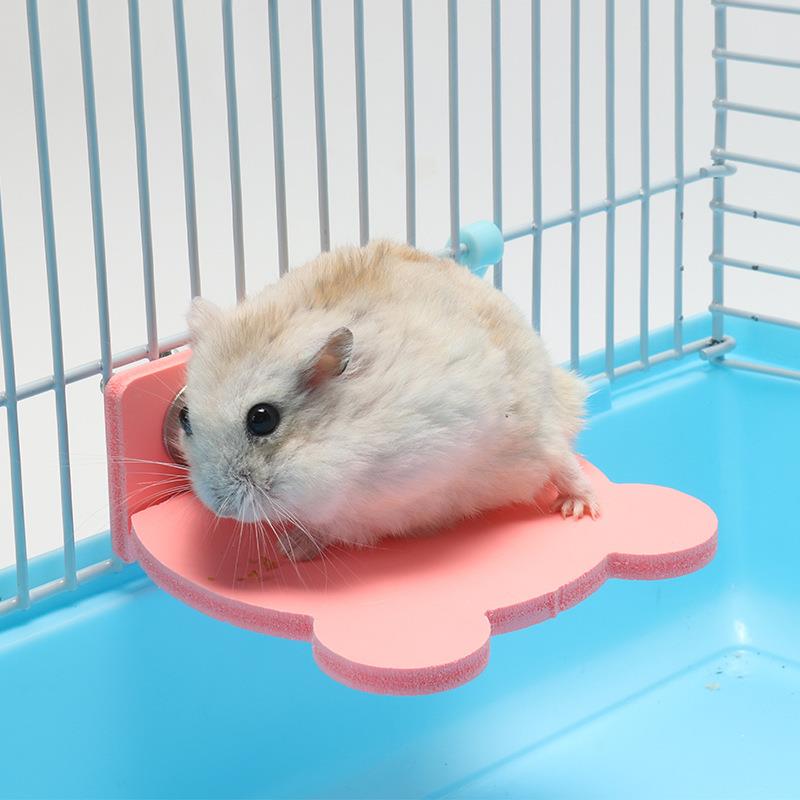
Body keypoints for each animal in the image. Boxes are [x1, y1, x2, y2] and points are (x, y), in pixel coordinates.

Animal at [179, 241, 598, 562]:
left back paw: (580, 509)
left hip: (532, 434)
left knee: (564, 461)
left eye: (262, 418)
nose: (218, 507)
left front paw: (287, 547)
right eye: (184, 418)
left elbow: (333, 525)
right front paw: (286, 548)